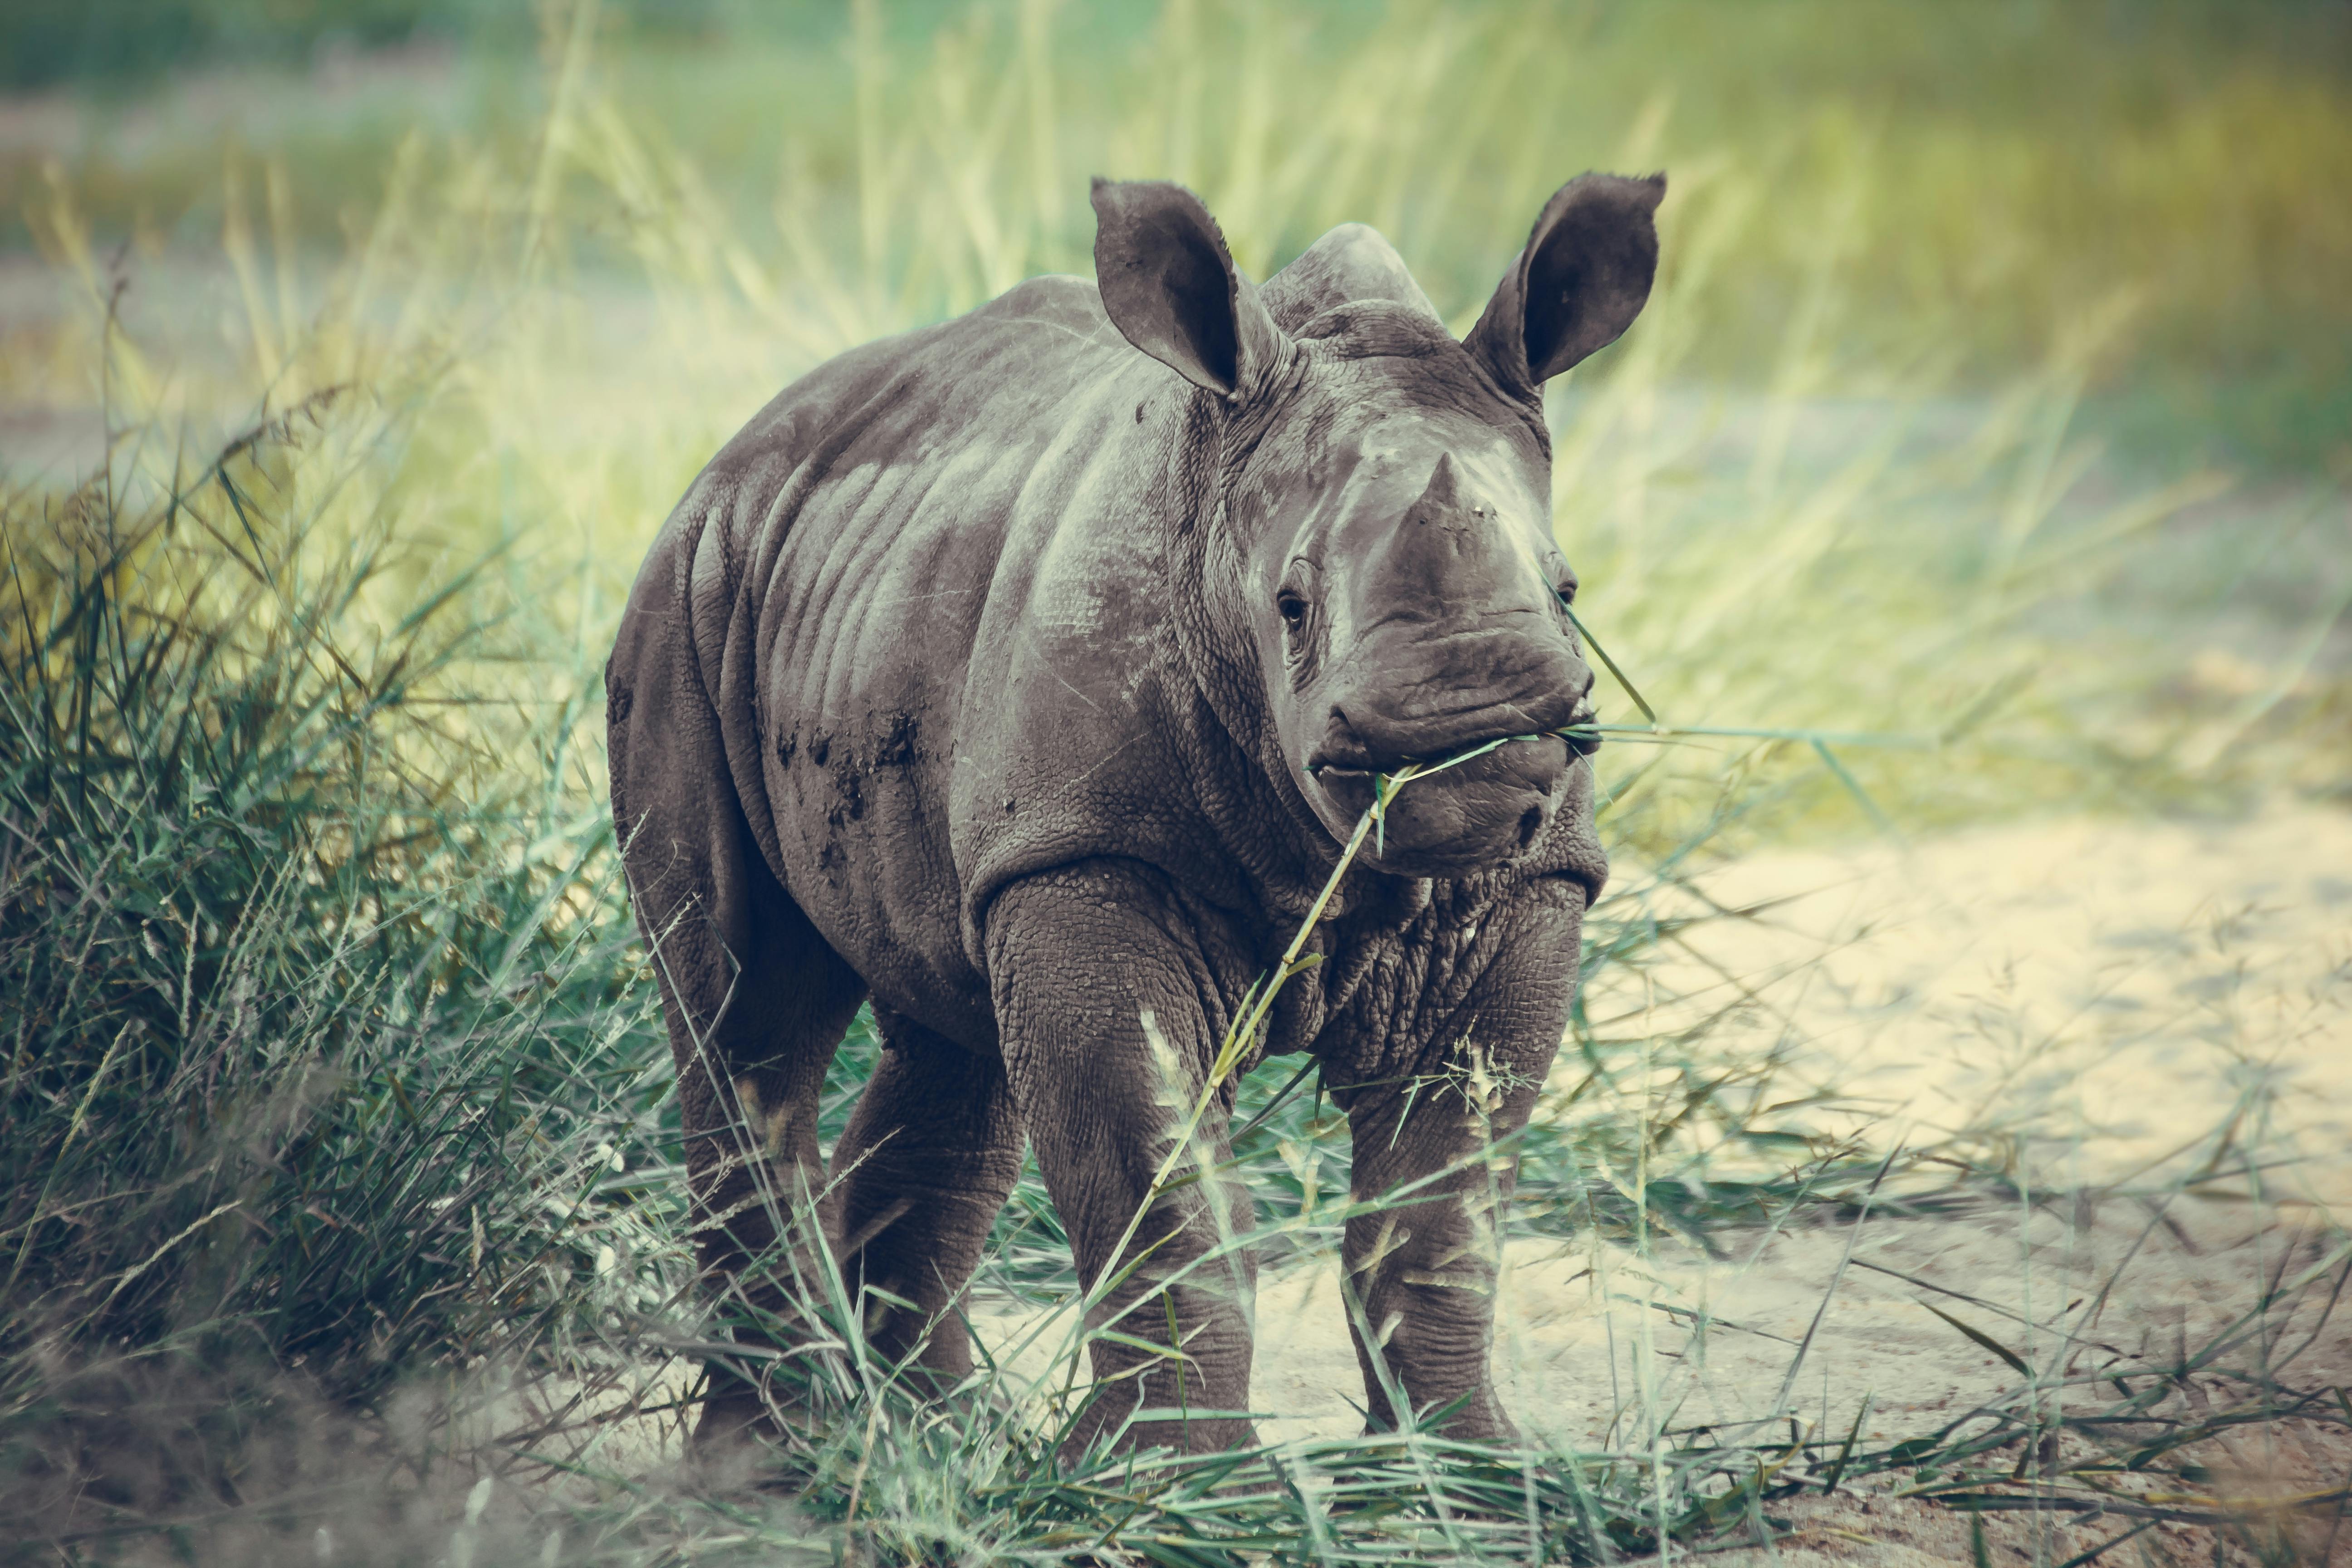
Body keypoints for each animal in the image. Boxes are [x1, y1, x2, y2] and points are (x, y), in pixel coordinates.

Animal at [606, 171, 1663, 1455]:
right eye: (1292, 604)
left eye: (1567, 593)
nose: (1470, 739)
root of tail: (740, 448)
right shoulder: (1086, 848)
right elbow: (1153, 1180)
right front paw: (1176, 1483)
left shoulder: (1528, 877)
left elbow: (1444, 1200)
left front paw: (1472, 1471)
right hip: (688, 592)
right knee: (748, 1012)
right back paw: (777, 1460)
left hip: (882, 595)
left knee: (949, 1025)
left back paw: (942, 1445)